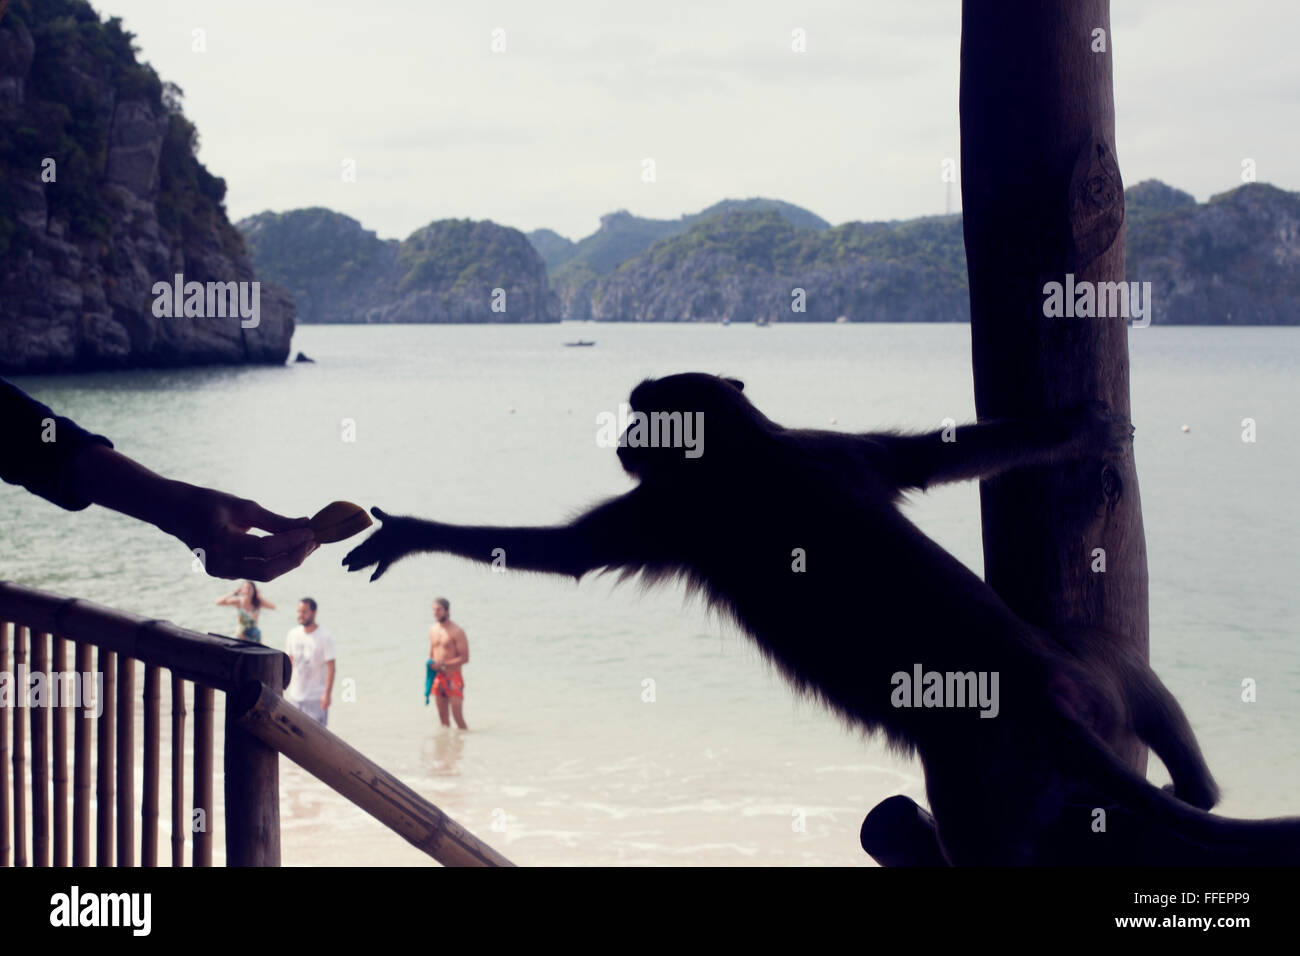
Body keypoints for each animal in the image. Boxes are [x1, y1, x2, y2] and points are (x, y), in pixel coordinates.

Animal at [343, 372, 1300, 864]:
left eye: (644, 417)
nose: (619, 437)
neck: (752, 447)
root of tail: (1050, 703)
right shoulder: (835, 446)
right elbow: (942, 454)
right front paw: (1083, 425)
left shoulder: (680, 510)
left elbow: (565, 554)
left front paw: (414, 533)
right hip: (1095, 676)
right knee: (1123, 669)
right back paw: (1200, 791)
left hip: (990, 769)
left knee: (979, 835)